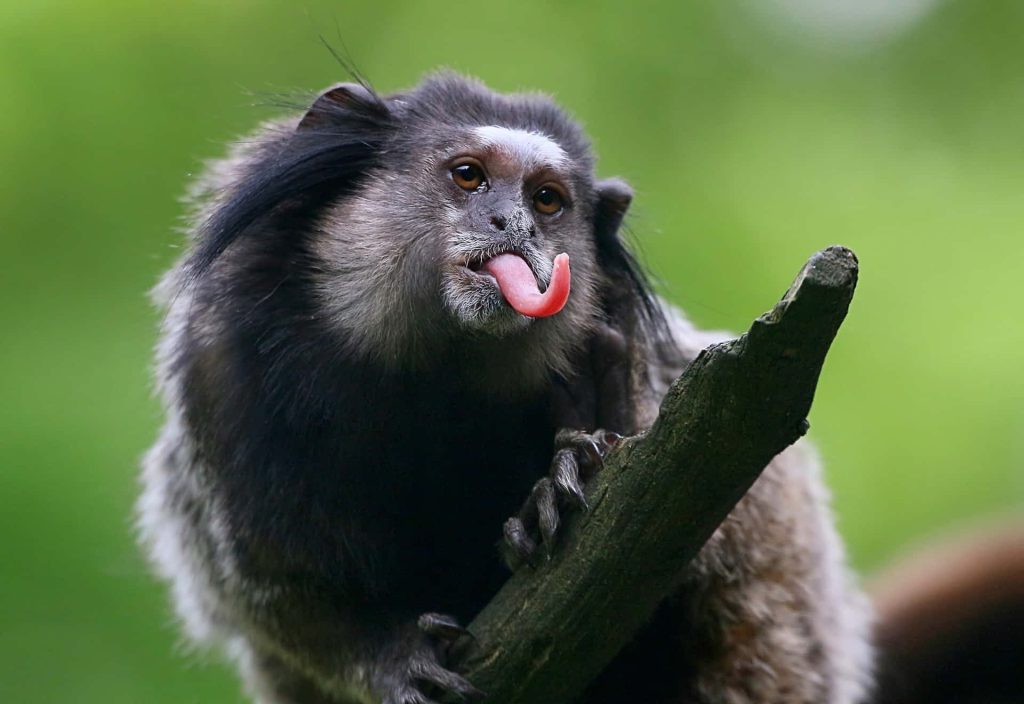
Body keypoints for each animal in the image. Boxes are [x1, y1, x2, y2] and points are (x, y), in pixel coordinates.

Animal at [138, 72, 873, 704]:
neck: (434, 381)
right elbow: (259, 584)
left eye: (546, 200)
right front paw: (386, 657)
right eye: (469, 176)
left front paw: (586, 444)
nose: (511, 226)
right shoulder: (216, 375)